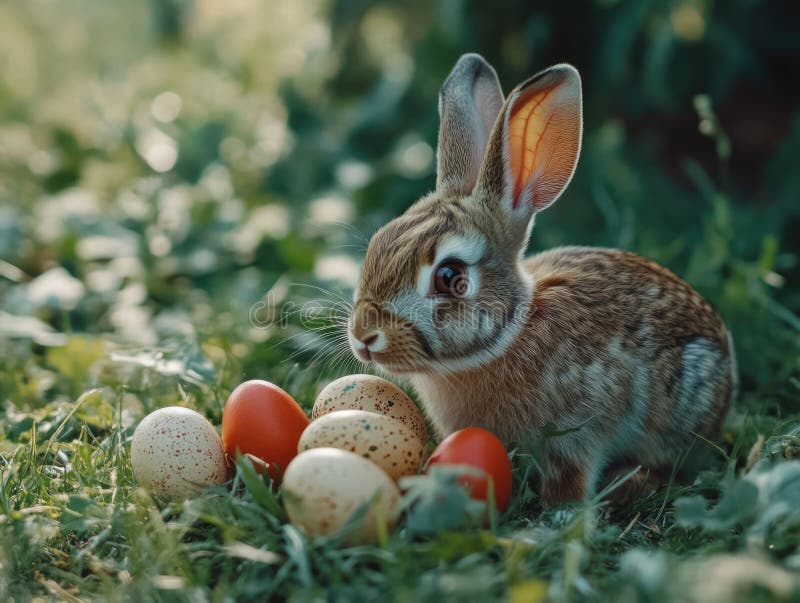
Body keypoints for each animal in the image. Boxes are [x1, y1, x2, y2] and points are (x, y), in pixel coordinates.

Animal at [346, 53, 736, 506]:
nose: (364, 335)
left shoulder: (579, 429)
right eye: (377, 243)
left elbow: (570, 472)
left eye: (449, 277)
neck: (509, 335)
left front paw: (562, 510)